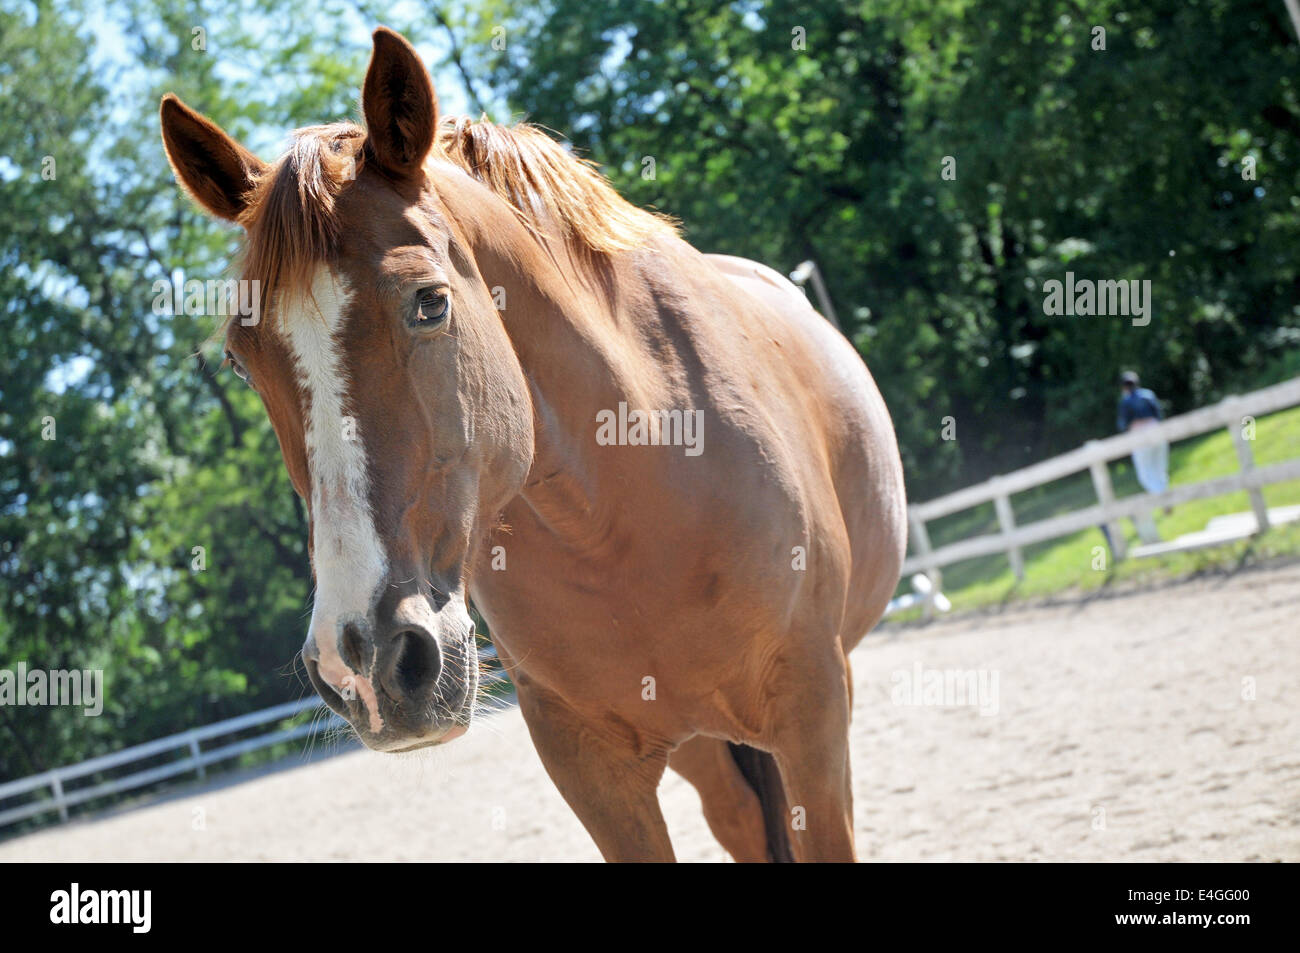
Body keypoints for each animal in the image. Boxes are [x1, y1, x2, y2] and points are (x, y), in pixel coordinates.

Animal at [159, 27, 906, 862]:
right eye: (239, 360)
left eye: (430, 302)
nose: (363, 661)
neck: (626, 508)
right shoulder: (590, 767)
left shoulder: (815, 719)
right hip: (702, 747)